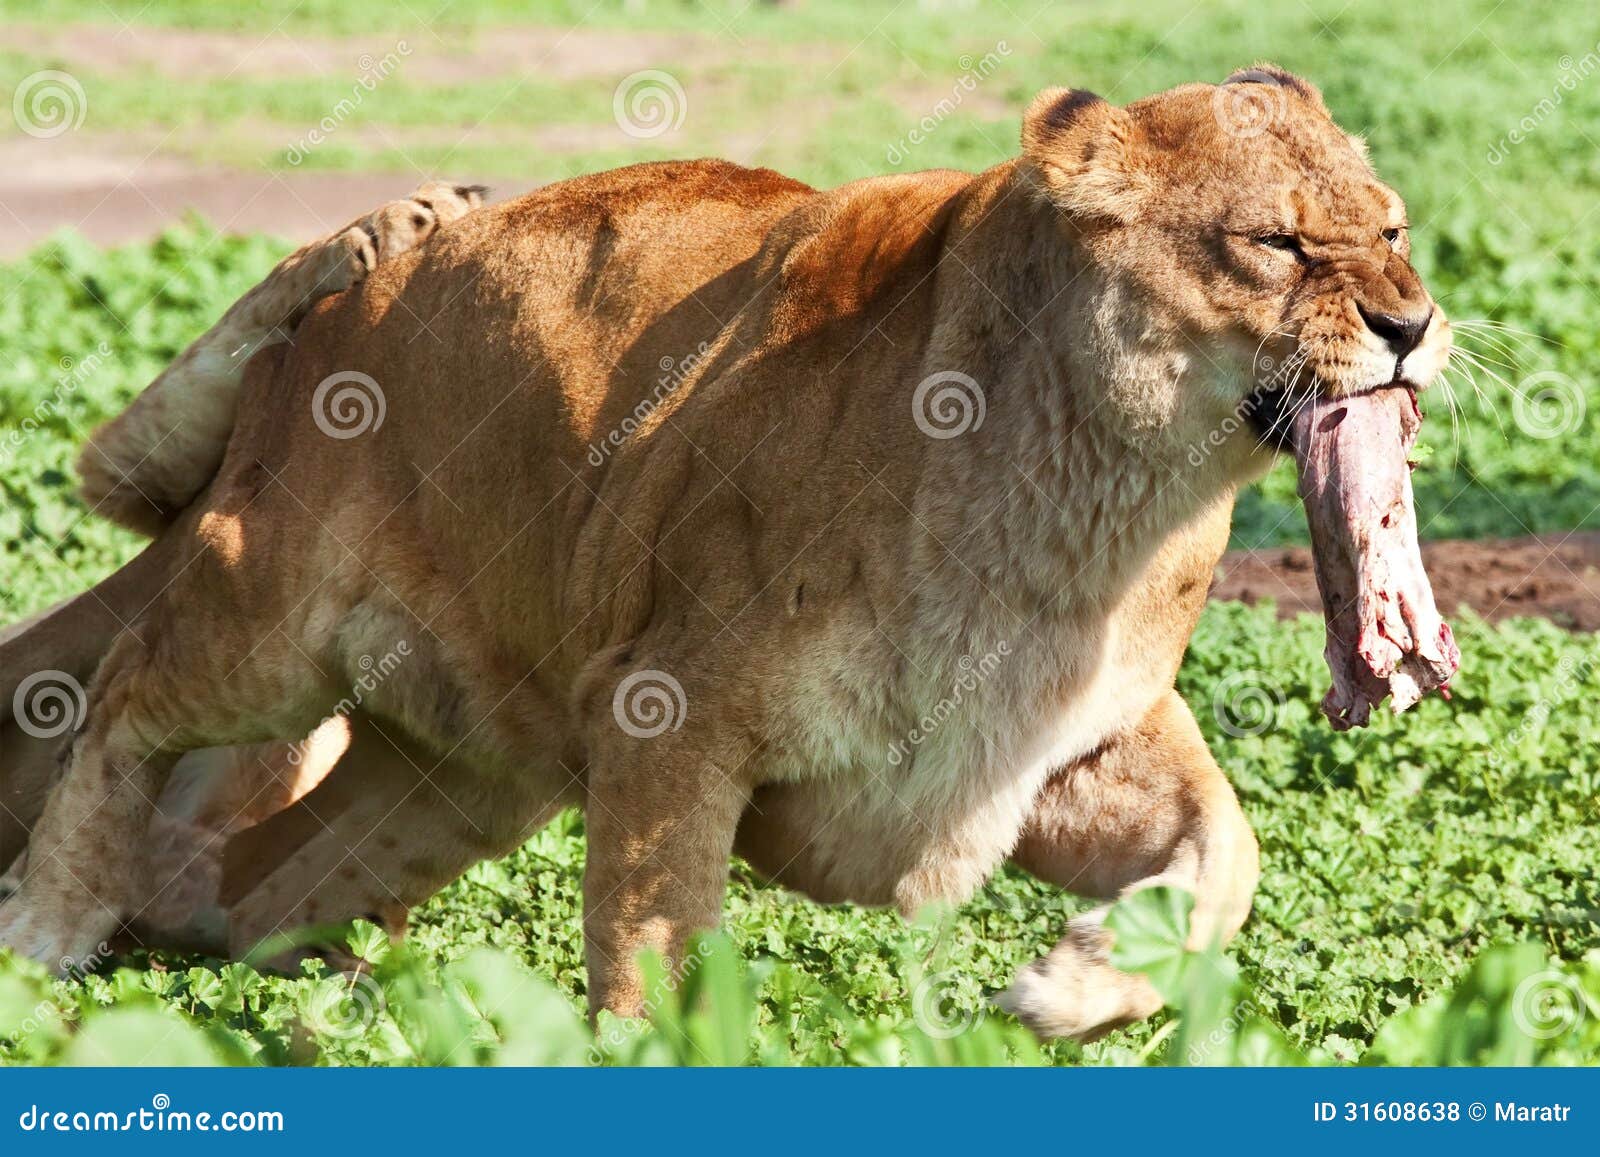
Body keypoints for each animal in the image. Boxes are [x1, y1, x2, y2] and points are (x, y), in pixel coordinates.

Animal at [0, 67, 1452, 1040]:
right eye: (1274, 241)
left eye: (1390, 228)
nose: (1413, 323)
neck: (1105, 502)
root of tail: (323, 331)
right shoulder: (672, 712)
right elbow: (656, 944)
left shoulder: (1059, 747)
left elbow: (1227, 850)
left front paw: (1066, 984)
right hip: (272, 615)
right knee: (118, 695)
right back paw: (45, 931)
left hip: (469, 778)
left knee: (254, 892)